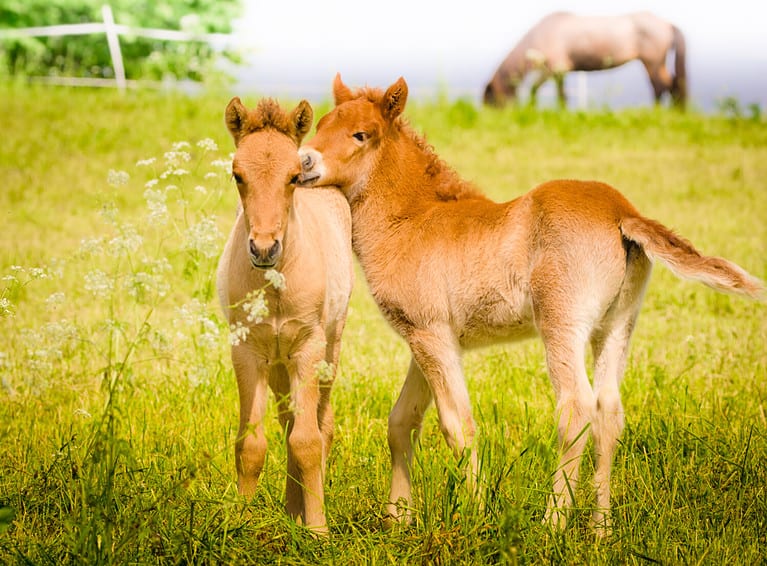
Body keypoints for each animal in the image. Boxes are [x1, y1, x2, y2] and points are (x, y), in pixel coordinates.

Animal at [216, 96, 354, 533]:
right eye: (237, 174)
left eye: (293, 176)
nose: (264, 248)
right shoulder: (246, 351)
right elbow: (251, 443)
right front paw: (239, 525)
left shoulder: (308, 348)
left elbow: (308, 441)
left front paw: (318, 530)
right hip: (277, 363)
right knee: (289, 420)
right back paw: (293, 509)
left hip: (328, 350)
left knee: (320, 424)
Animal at [298, 74, 763, 534]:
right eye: (320, 124)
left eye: (361, 134)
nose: (303, 161)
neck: (412, 220)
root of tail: (621, 212)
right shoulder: (426, 338)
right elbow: (402, 421)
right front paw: (398, 518)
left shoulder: (430, 334)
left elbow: (457, 425)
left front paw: (476, 518)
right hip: (617, 326)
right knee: (609, 413)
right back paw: (600, 529)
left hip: (561, 323)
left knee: (576, 409)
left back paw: (552, 524)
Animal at [483, 11, 687, 109]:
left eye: (490, 100)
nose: (491, 116)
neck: (540, 36)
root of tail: (666, 23)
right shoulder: (555, 71)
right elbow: (549, 92)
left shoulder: (556, 68)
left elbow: (549, 92)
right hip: (657, 61)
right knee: (672, 83)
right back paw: (677, 110)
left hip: (651, 60)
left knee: (660, 85)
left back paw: (658, 111)